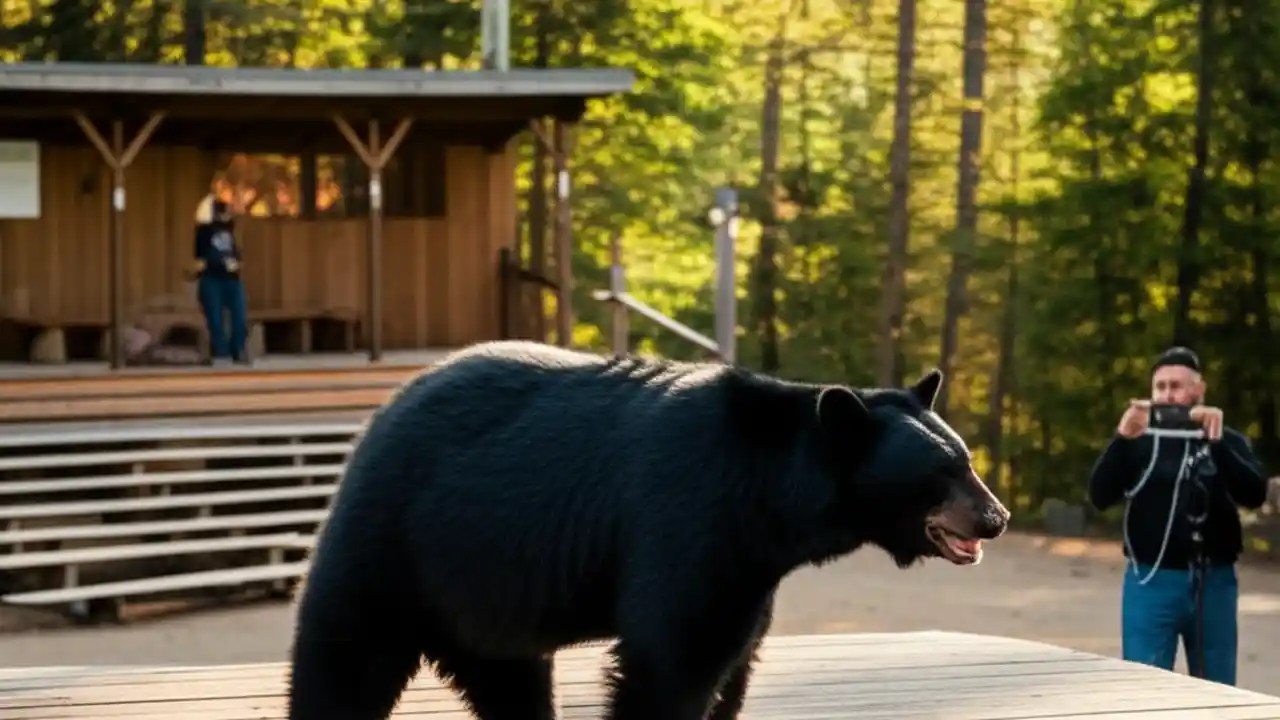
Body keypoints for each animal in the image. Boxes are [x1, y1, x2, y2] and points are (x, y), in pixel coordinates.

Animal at [286, 340, 1010, 720]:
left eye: (967, 460)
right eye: (943, 472)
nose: (996, 517)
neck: (768, 500)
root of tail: (383, 412)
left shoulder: (750, 566)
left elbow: (735, 658)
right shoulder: (689, 516)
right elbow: (676, 652)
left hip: (483, 587)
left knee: (509, 677)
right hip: (398, 539)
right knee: (346, 652)